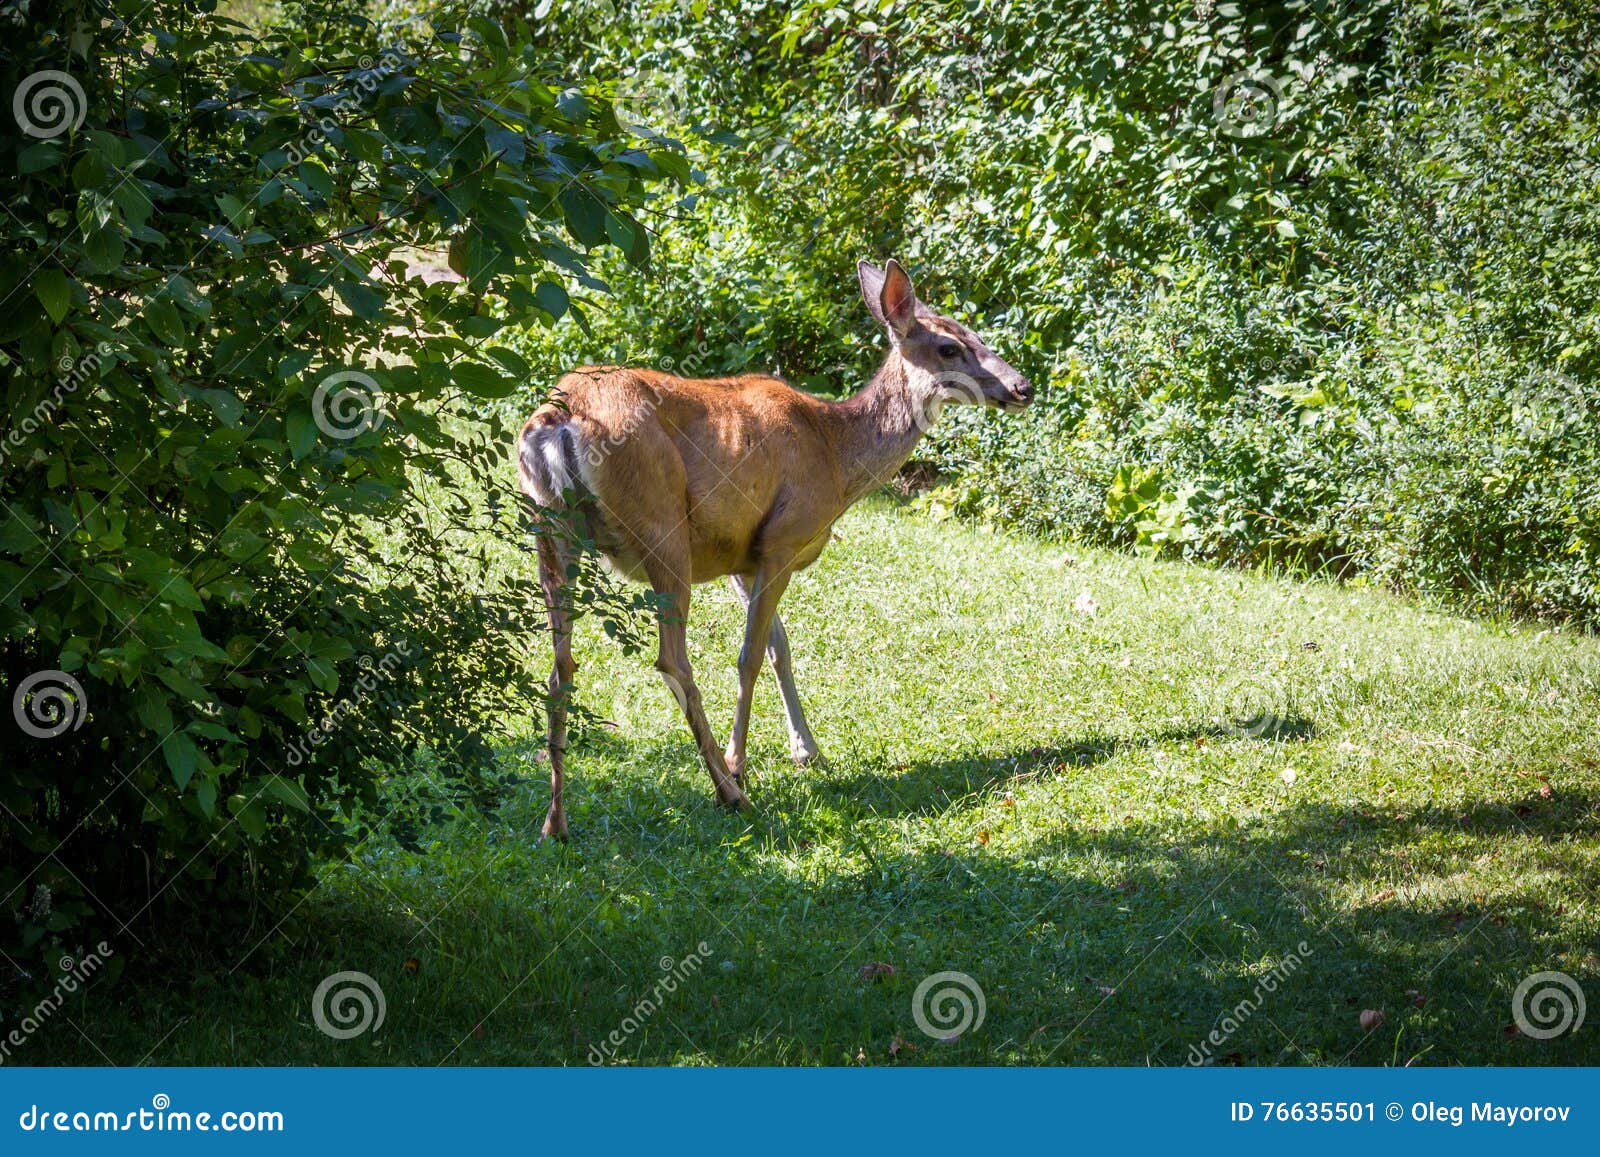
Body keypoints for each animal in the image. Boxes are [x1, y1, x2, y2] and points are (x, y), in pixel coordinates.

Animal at [517, 259, 1034, 839]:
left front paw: (808, 749)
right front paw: (743, 761)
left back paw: (555, 820)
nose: (1023, 386)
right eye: (949, 347)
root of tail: (558, 420)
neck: (835, 455)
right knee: (671, 660)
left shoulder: (743, 556)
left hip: (550, 530)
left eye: (976, 335)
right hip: (662, 528)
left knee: (560, 665)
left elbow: (779, 648)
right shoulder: (784, 538)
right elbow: (750, 656)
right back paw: (729, 790)